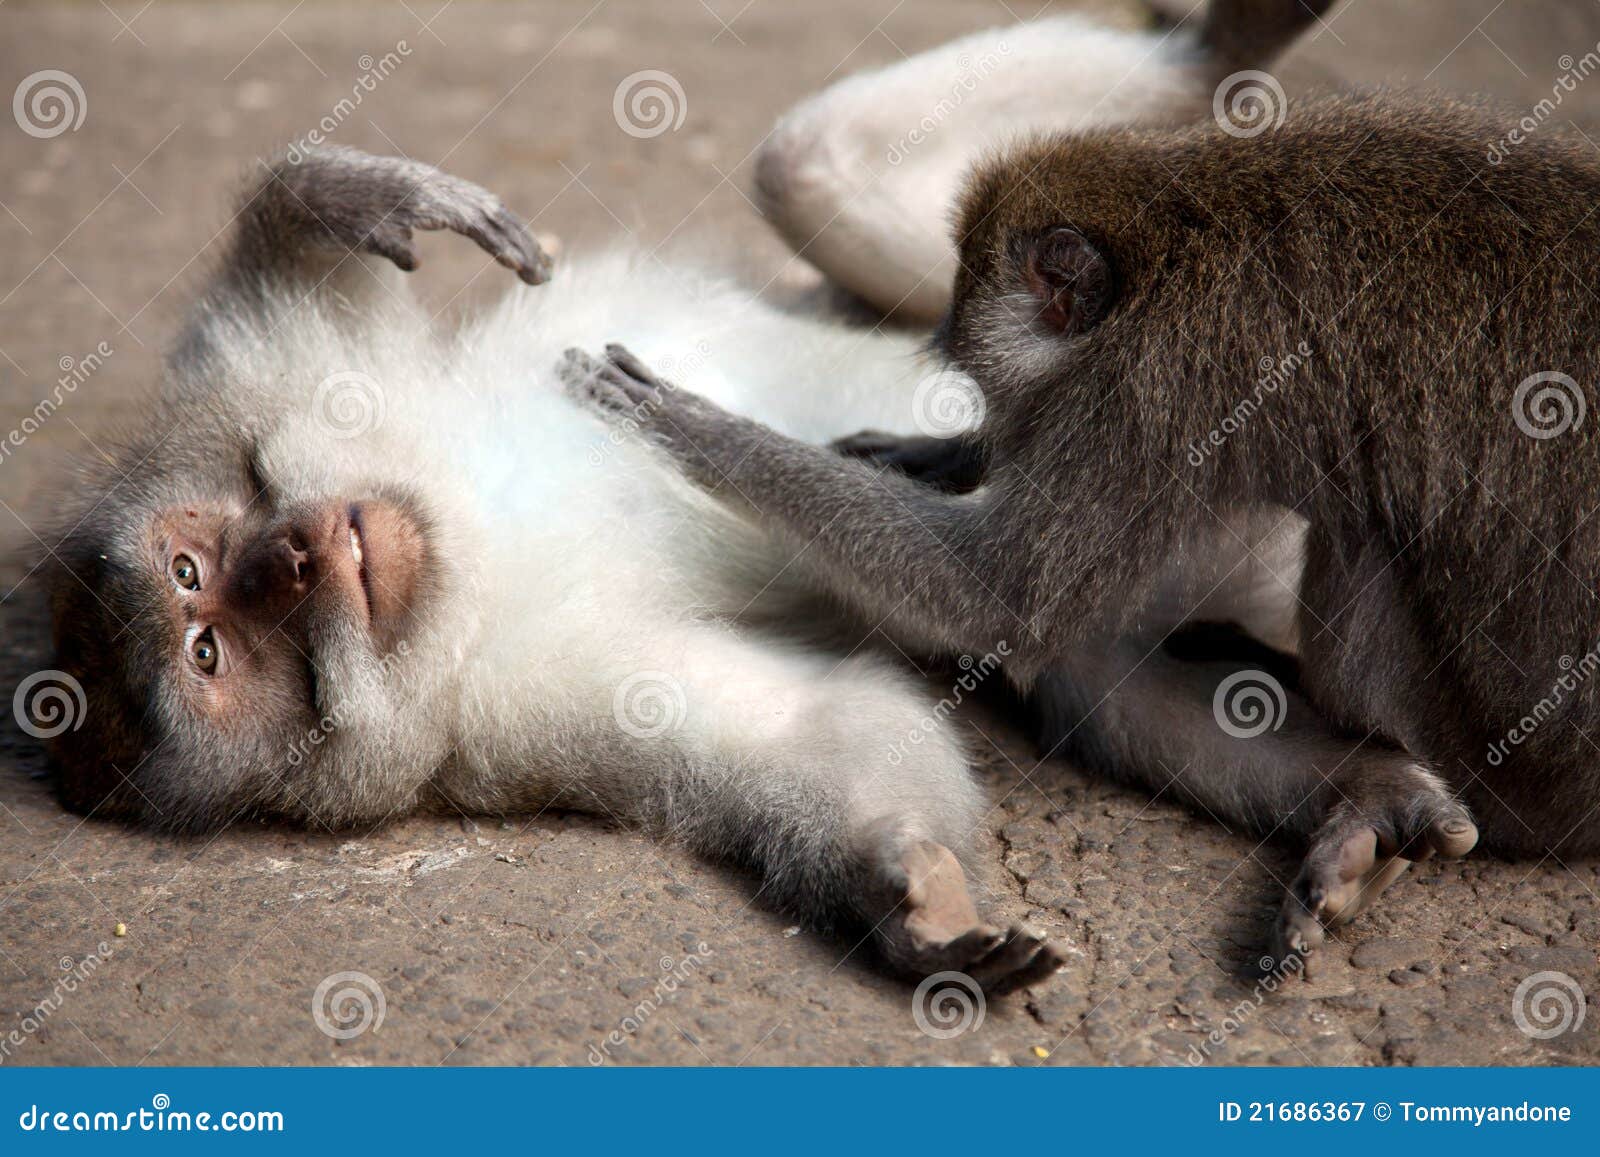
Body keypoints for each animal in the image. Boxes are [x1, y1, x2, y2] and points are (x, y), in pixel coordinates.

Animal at [558, 91, 1600, 963]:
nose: (994, 427)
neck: (1178, 230)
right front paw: (929, 455)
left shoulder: (1158, 384)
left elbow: (1001, 596)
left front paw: (693, 426)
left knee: (1349, 530)